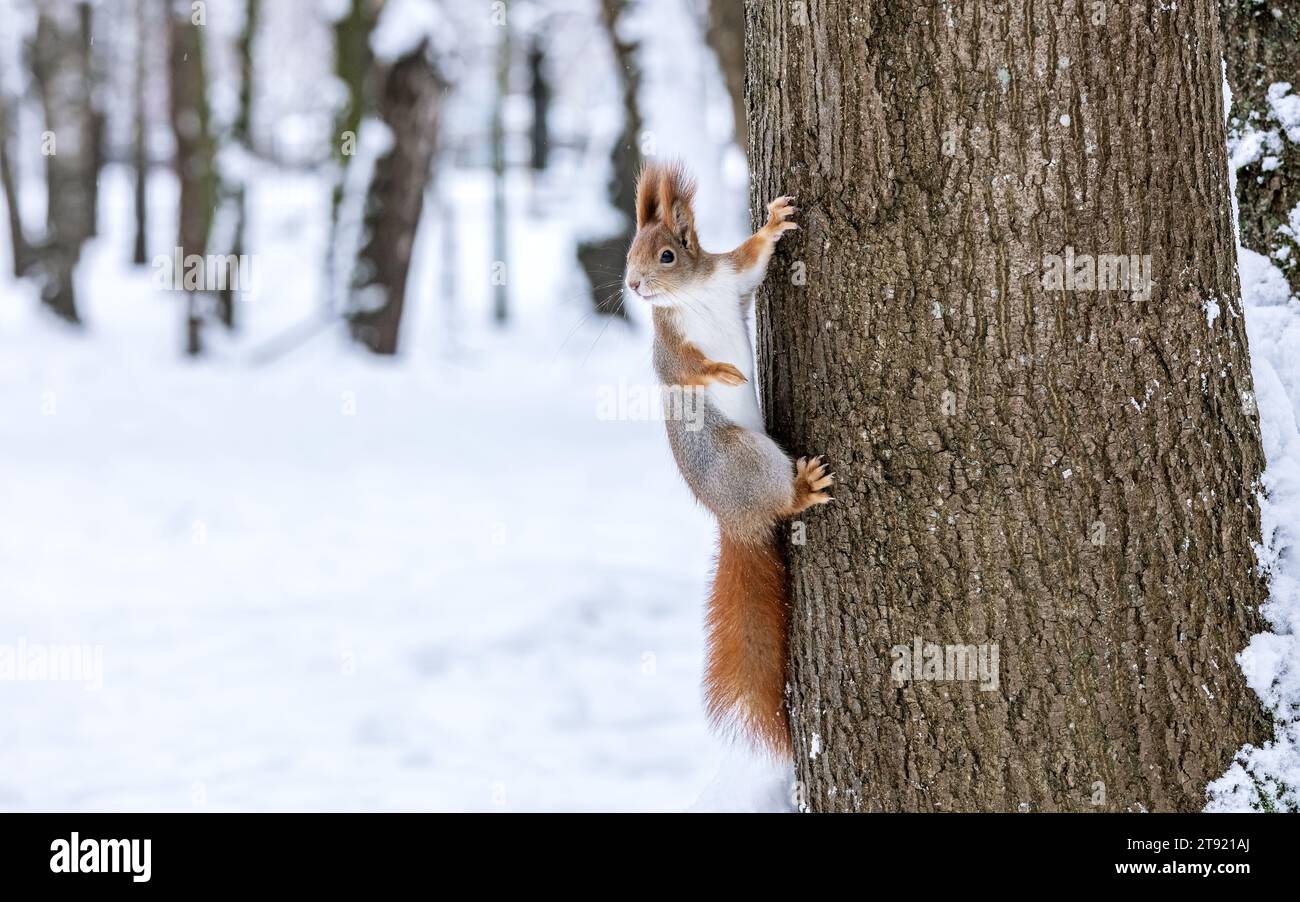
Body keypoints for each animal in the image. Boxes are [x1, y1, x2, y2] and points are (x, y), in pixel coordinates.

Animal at [623, 160, 833, 758]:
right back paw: (803, 488)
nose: (633, 286)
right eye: (629, 254)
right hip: (746, 457)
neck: (691, 295)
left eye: (666, 255)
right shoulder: (667, 348)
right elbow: (681, 372)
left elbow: (752, 258)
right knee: (784, 502)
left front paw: (775, 222)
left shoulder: (731, 278)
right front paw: (724, 373)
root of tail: (736, 518)